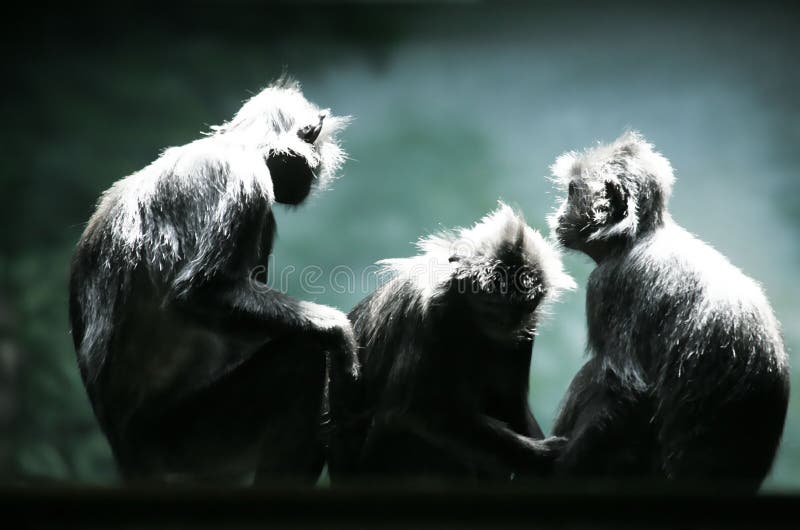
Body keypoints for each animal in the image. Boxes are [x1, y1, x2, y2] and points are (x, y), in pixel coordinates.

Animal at [68, 77, 360, 484]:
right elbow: (200, 293)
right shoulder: (248, 182)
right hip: (188, 441)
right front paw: (336, 329)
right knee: (304, 352)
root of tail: (127, 454)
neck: (232, 144)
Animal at [328, 203, 576, 483]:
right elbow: (414, 410)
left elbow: (510, 402)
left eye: (523, 306)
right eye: (492, 303)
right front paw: (538, 457)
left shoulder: (525, 329)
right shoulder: (430, 312)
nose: (506, 321)